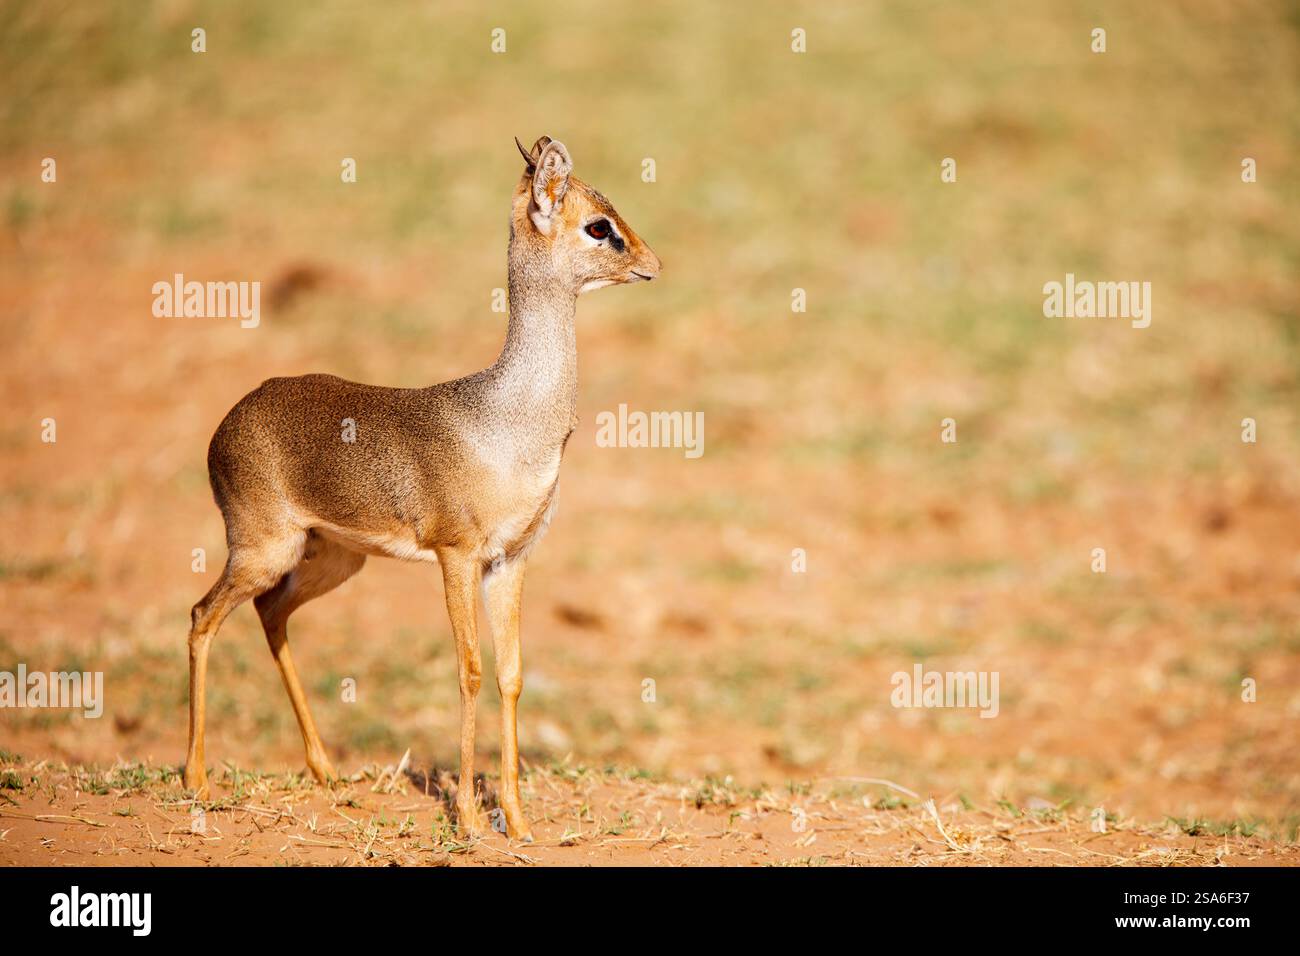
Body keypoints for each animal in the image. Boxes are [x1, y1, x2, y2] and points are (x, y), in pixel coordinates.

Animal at [183, 136, 661, 840]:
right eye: (599, 226)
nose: (652, 264)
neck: (509, 421)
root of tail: (232, 418)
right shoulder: (456, 556)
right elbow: (469, 670)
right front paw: (466, 815)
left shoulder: (511, 560)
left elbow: (511, 674)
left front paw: (517, 820)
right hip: (262, 550)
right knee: (201, 617)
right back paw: (194, 779)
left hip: (332, 558)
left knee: (269, 612)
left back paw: (325, 771)